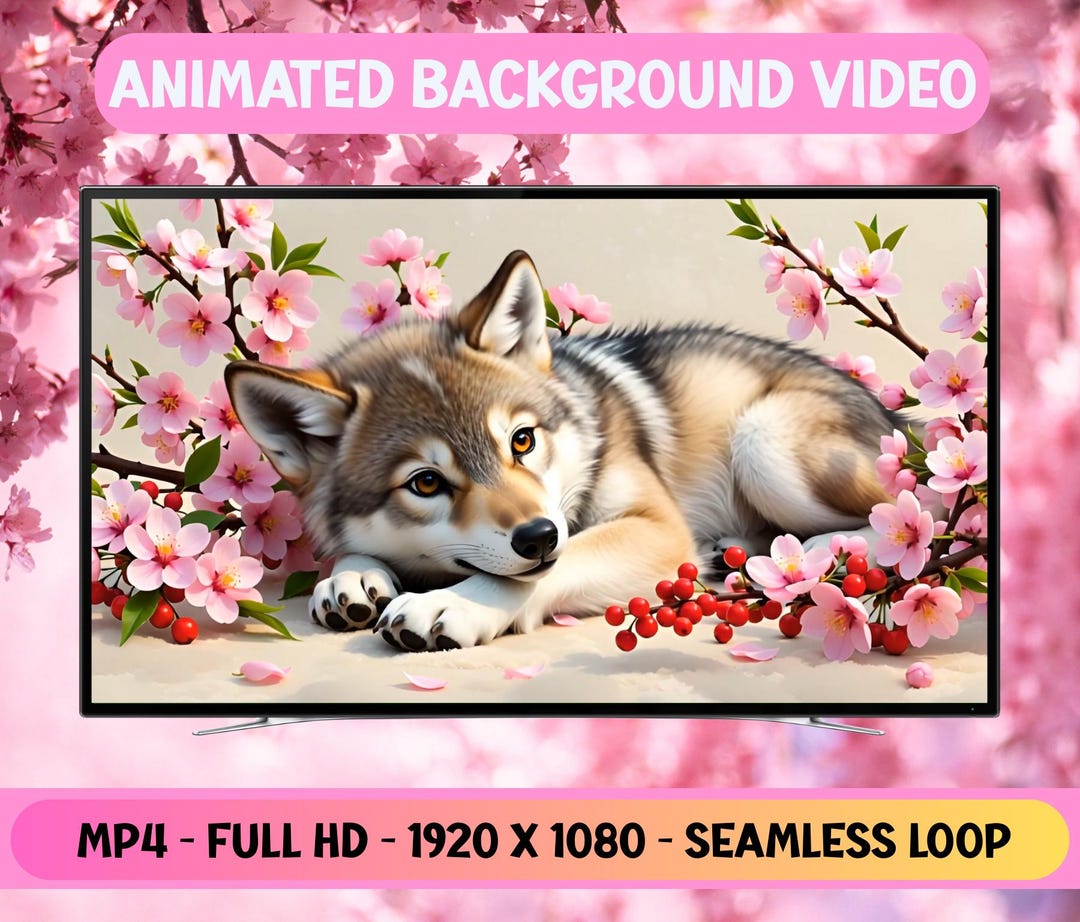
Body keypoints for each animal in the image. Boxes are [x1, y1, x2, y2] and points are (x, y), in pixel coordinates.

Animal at [225, 250, 895, 651]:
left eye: (521, 441)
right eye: (425, 482)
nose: (537, 535)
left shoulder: (655, 529)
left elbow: (552, 566)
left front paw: (450, 604)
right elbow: (353, 553)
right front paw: (351, 578)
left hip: (762, 440)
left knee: (899, 512)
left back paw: (811, 553)